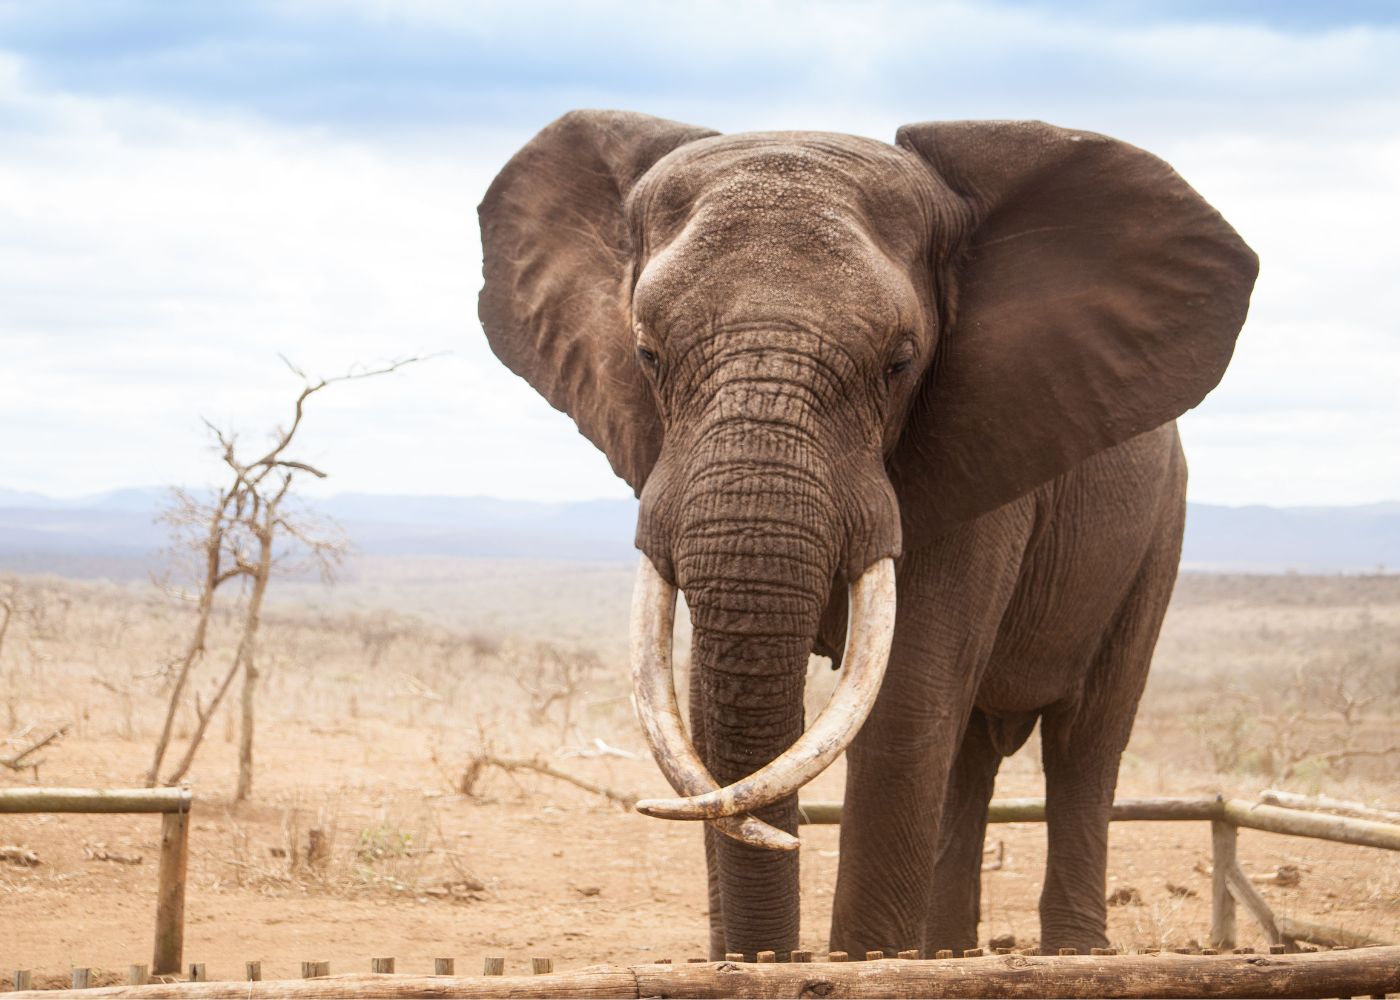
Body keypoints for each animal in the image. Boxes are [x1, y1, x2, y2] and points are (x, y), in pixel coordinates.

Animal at [477, 110, 1256, 961]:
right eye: (647, 354)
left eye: (900, 363)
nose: (764, 957)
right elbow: (708, 709)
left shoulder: (977, 447)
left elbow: (906, 702)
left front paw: (862, 966)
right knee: (972, 755)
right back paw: (946, 957)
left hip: (1159, 530)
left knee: (1084, 742)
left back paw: (1068, 956)